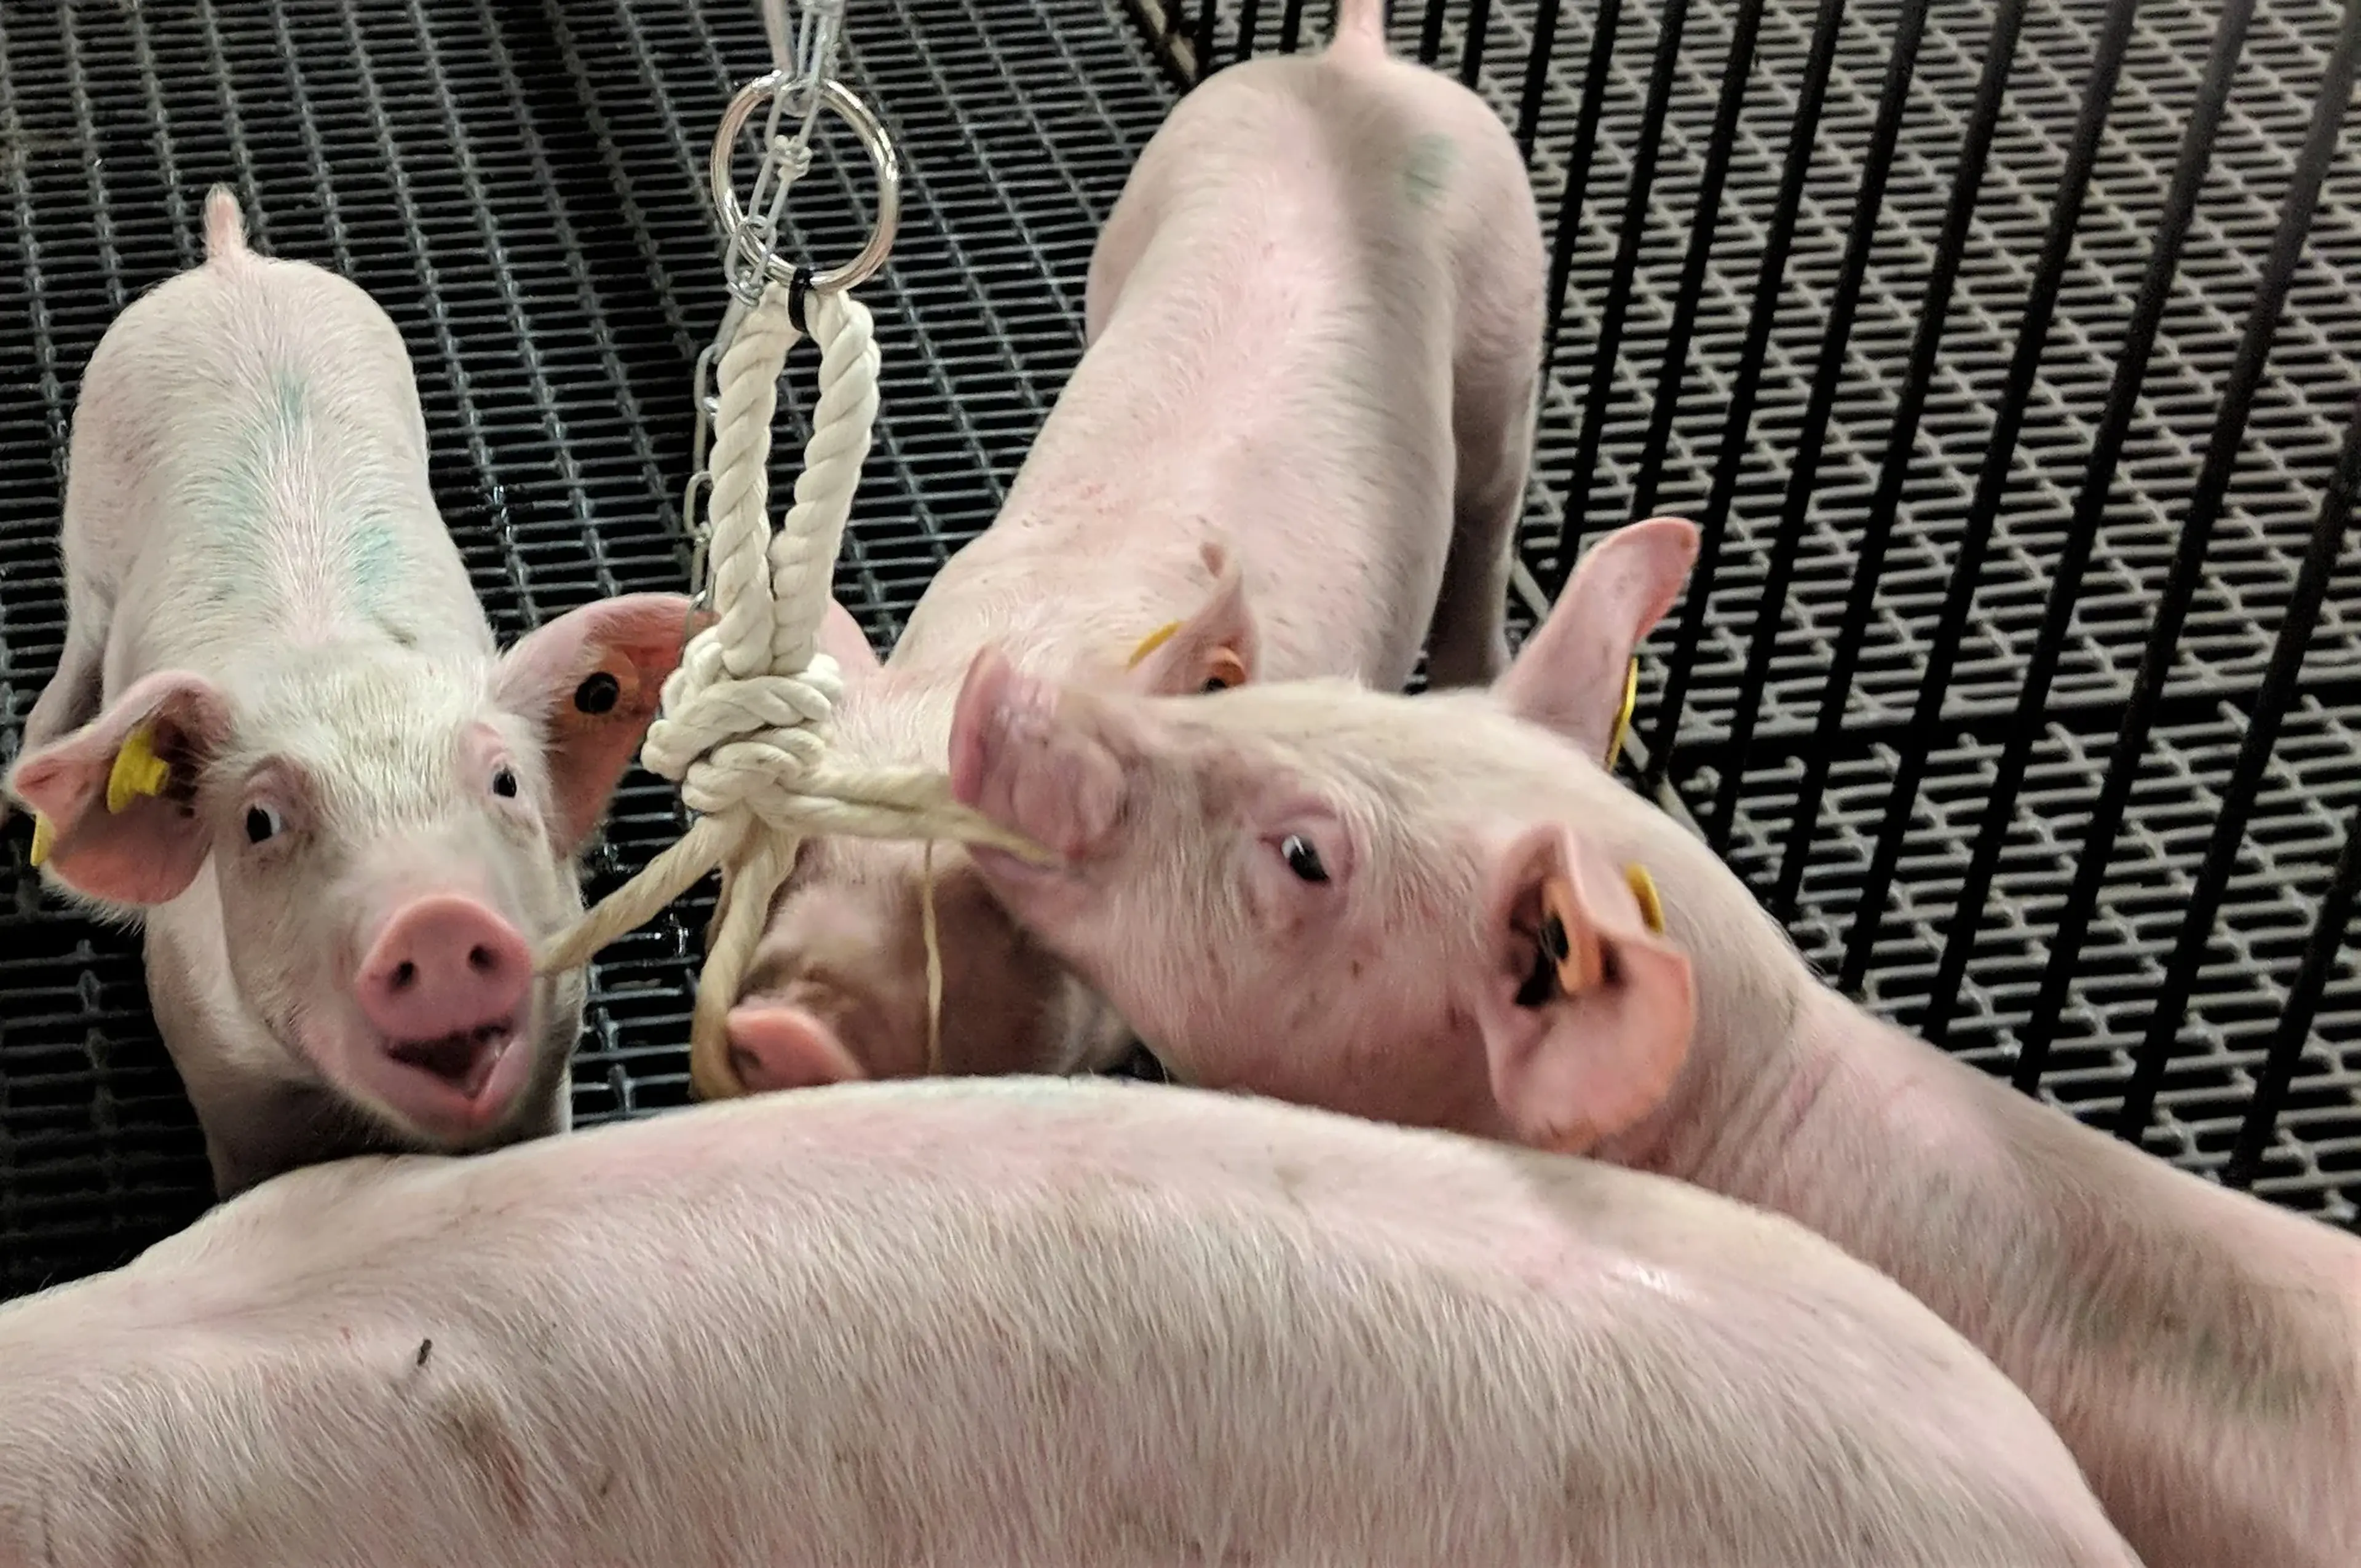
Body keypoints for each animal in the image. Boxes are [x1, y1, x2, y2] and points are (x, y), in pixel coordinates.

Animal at [2, 187, 696, 1197]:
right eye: (259, 823)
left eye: (506, 783)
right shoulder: (217, 1067)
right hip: (87, 513)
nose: (436, 918)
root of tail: (231, 263)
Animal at [723, 0, 1545, 1095]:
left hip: (1508, 314)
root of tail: (1354, 64)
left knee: (1491, 510)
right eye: (795, 853)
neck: (1052, 627)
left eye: (1002, 890)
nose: (786, 1030)